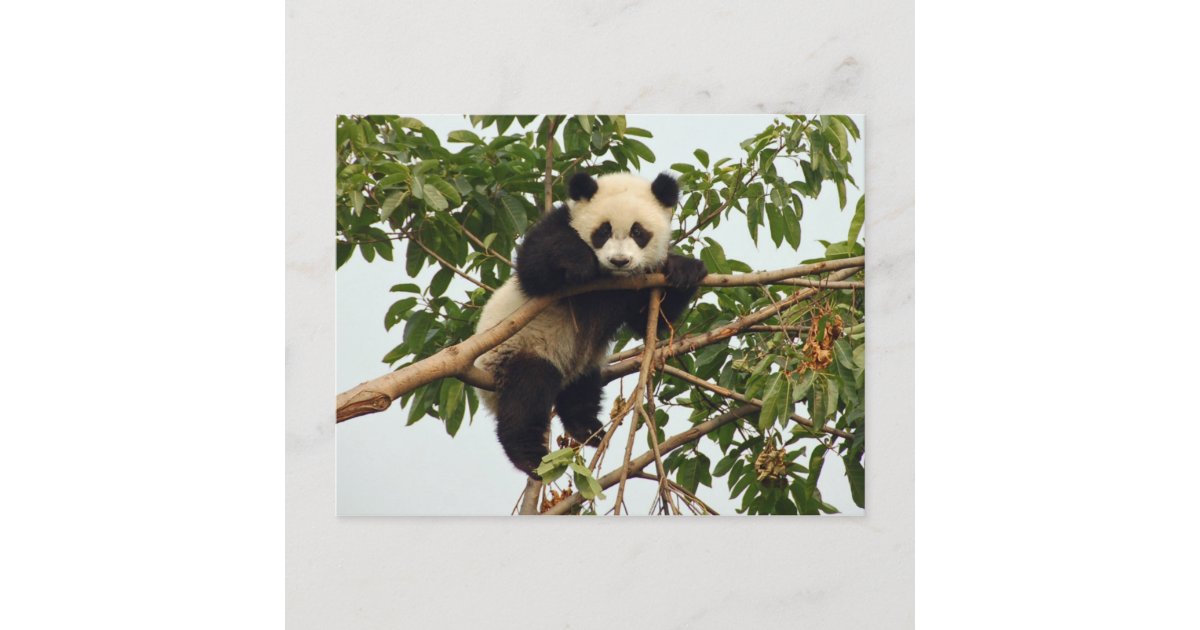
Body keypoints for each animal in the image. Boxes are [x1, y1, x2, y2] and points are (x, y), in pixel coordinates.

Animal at [473, 171, 708, 478]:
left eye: (638, 232)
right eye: (603, 231)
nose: (619, 260)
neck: (608, 280)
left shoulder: (634, 286)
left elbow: (648, 320)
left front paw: (684, 268)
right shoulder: (558, 225)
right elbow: (533, 265)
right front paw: (580, 262)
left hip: (580, 362)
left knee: (582, 391)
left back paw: (587, 428)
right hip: (516, 350)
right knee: (528, 392)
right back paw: (529, 455)